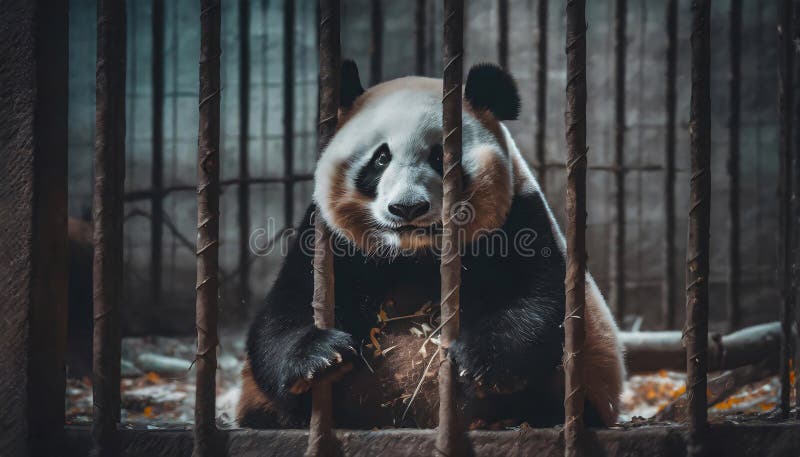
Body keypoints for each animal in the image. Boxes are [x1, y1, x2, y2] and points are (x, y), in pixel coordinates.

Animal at [237, 60, 624, 429]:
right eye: (381, 158)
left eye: (440, 157)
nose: (407, 207)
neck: (414, 254)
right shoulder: (328, 238)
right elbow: (287, 309)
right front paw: (321, 358)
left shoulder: (520, 219)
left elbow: (539, 302)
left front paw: (476, 363)